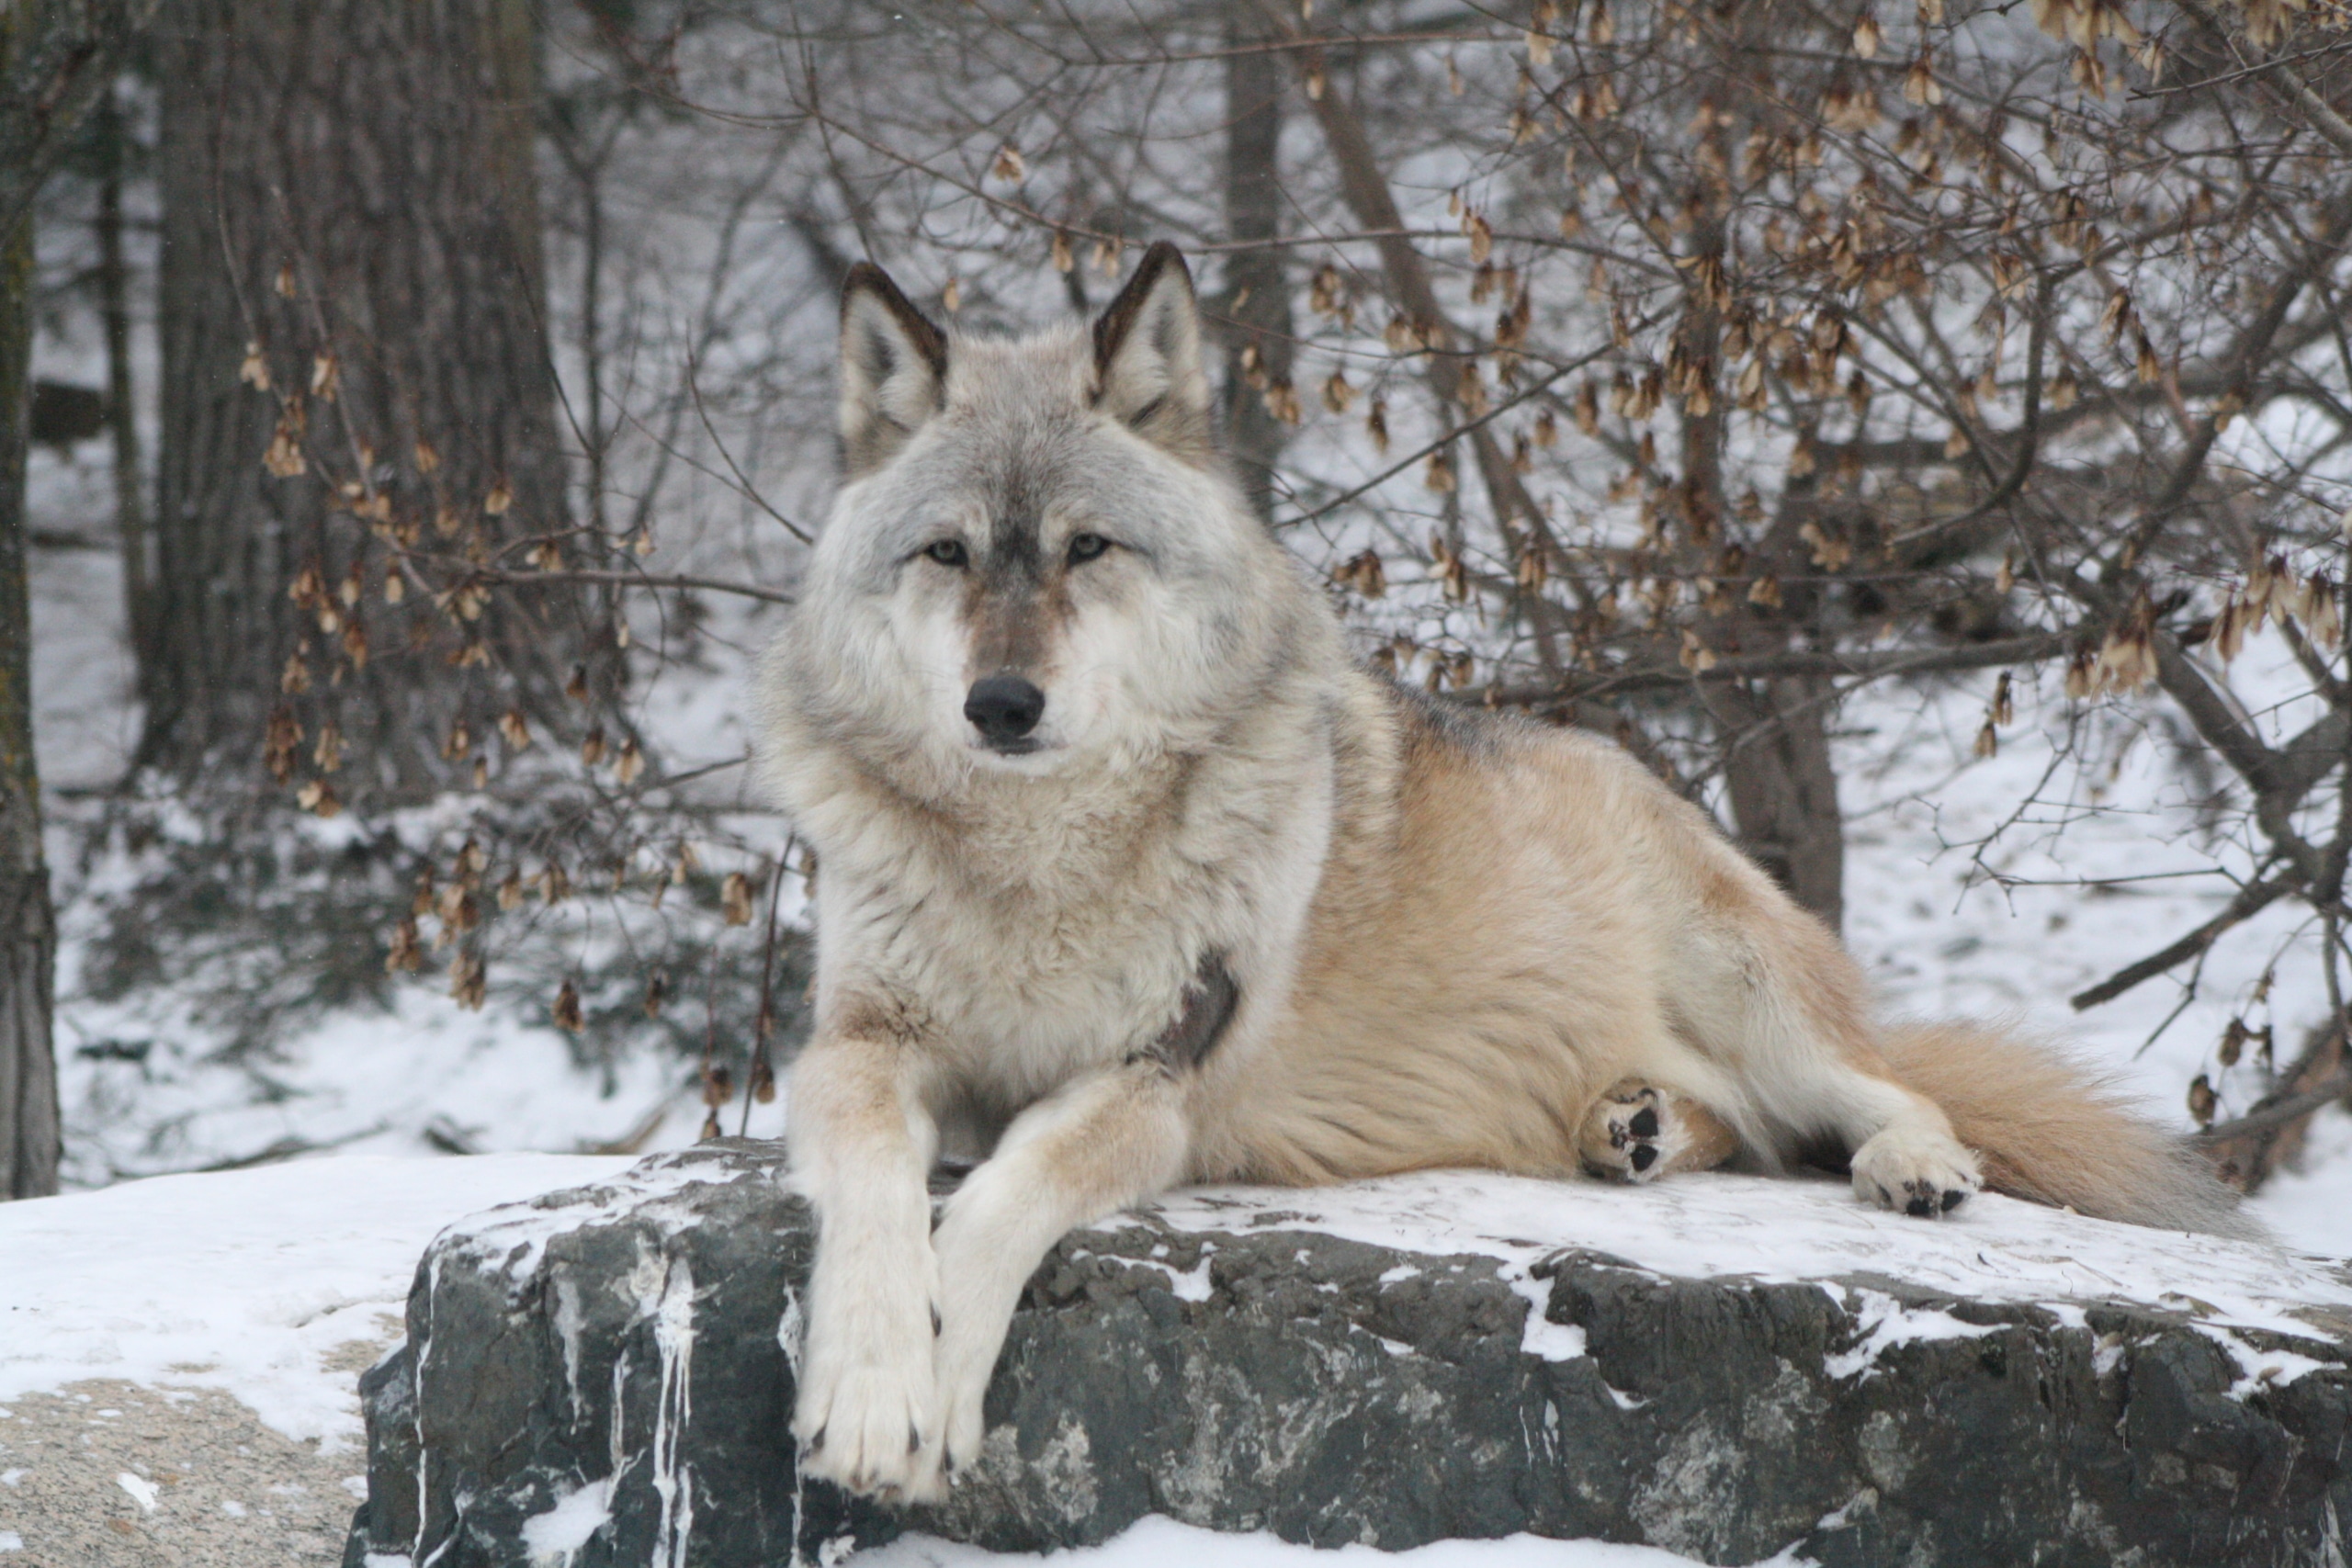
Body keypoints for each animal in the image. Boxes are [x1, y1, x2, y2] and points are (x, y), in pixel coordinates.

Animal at [755, 241, 2250, 1503]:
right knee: (1746, 1125)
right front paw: (873, 1390)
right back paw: (1631, 1127)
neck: (1036, 867)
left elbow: (995, 1202)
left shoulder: (1157, 1083)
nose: (1001, 704)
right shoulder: (857, 1044)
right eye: (947, 552)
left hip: (1754, 990)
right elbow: (880, 1182)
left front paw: (924, 1393)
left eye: (1085, 548)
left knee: (1885, 1094)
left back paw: (1906, 1164)